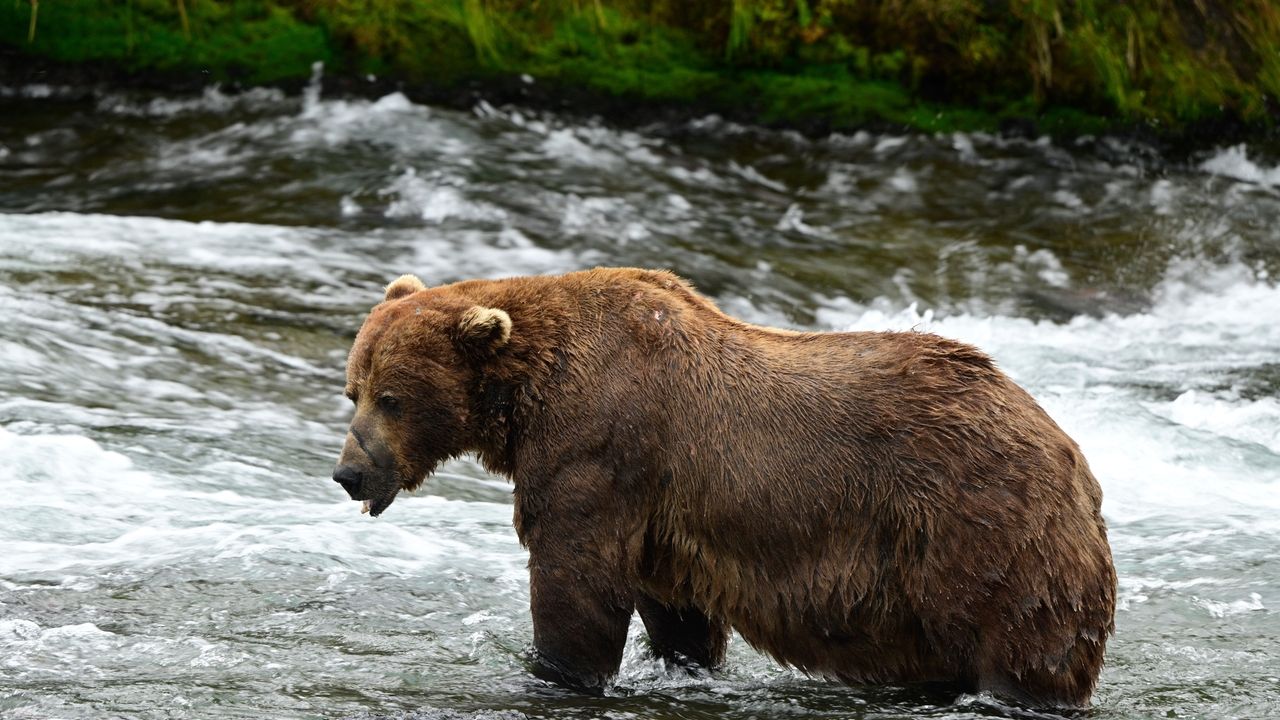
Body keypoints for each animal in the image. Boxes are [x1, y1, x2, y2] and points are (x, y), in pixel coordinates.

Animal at [331, 267, 1116, 709]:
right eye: (353, 390)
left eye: (392, 397)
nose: (349, 472)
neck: (525, 394)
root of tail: (1073, 456)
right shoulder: (661, 513)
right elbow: (673, 610)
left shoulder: (600, 446)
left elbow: (575, 581)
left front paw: (553, 673)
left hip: (982, 529)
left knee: (1022, 647)